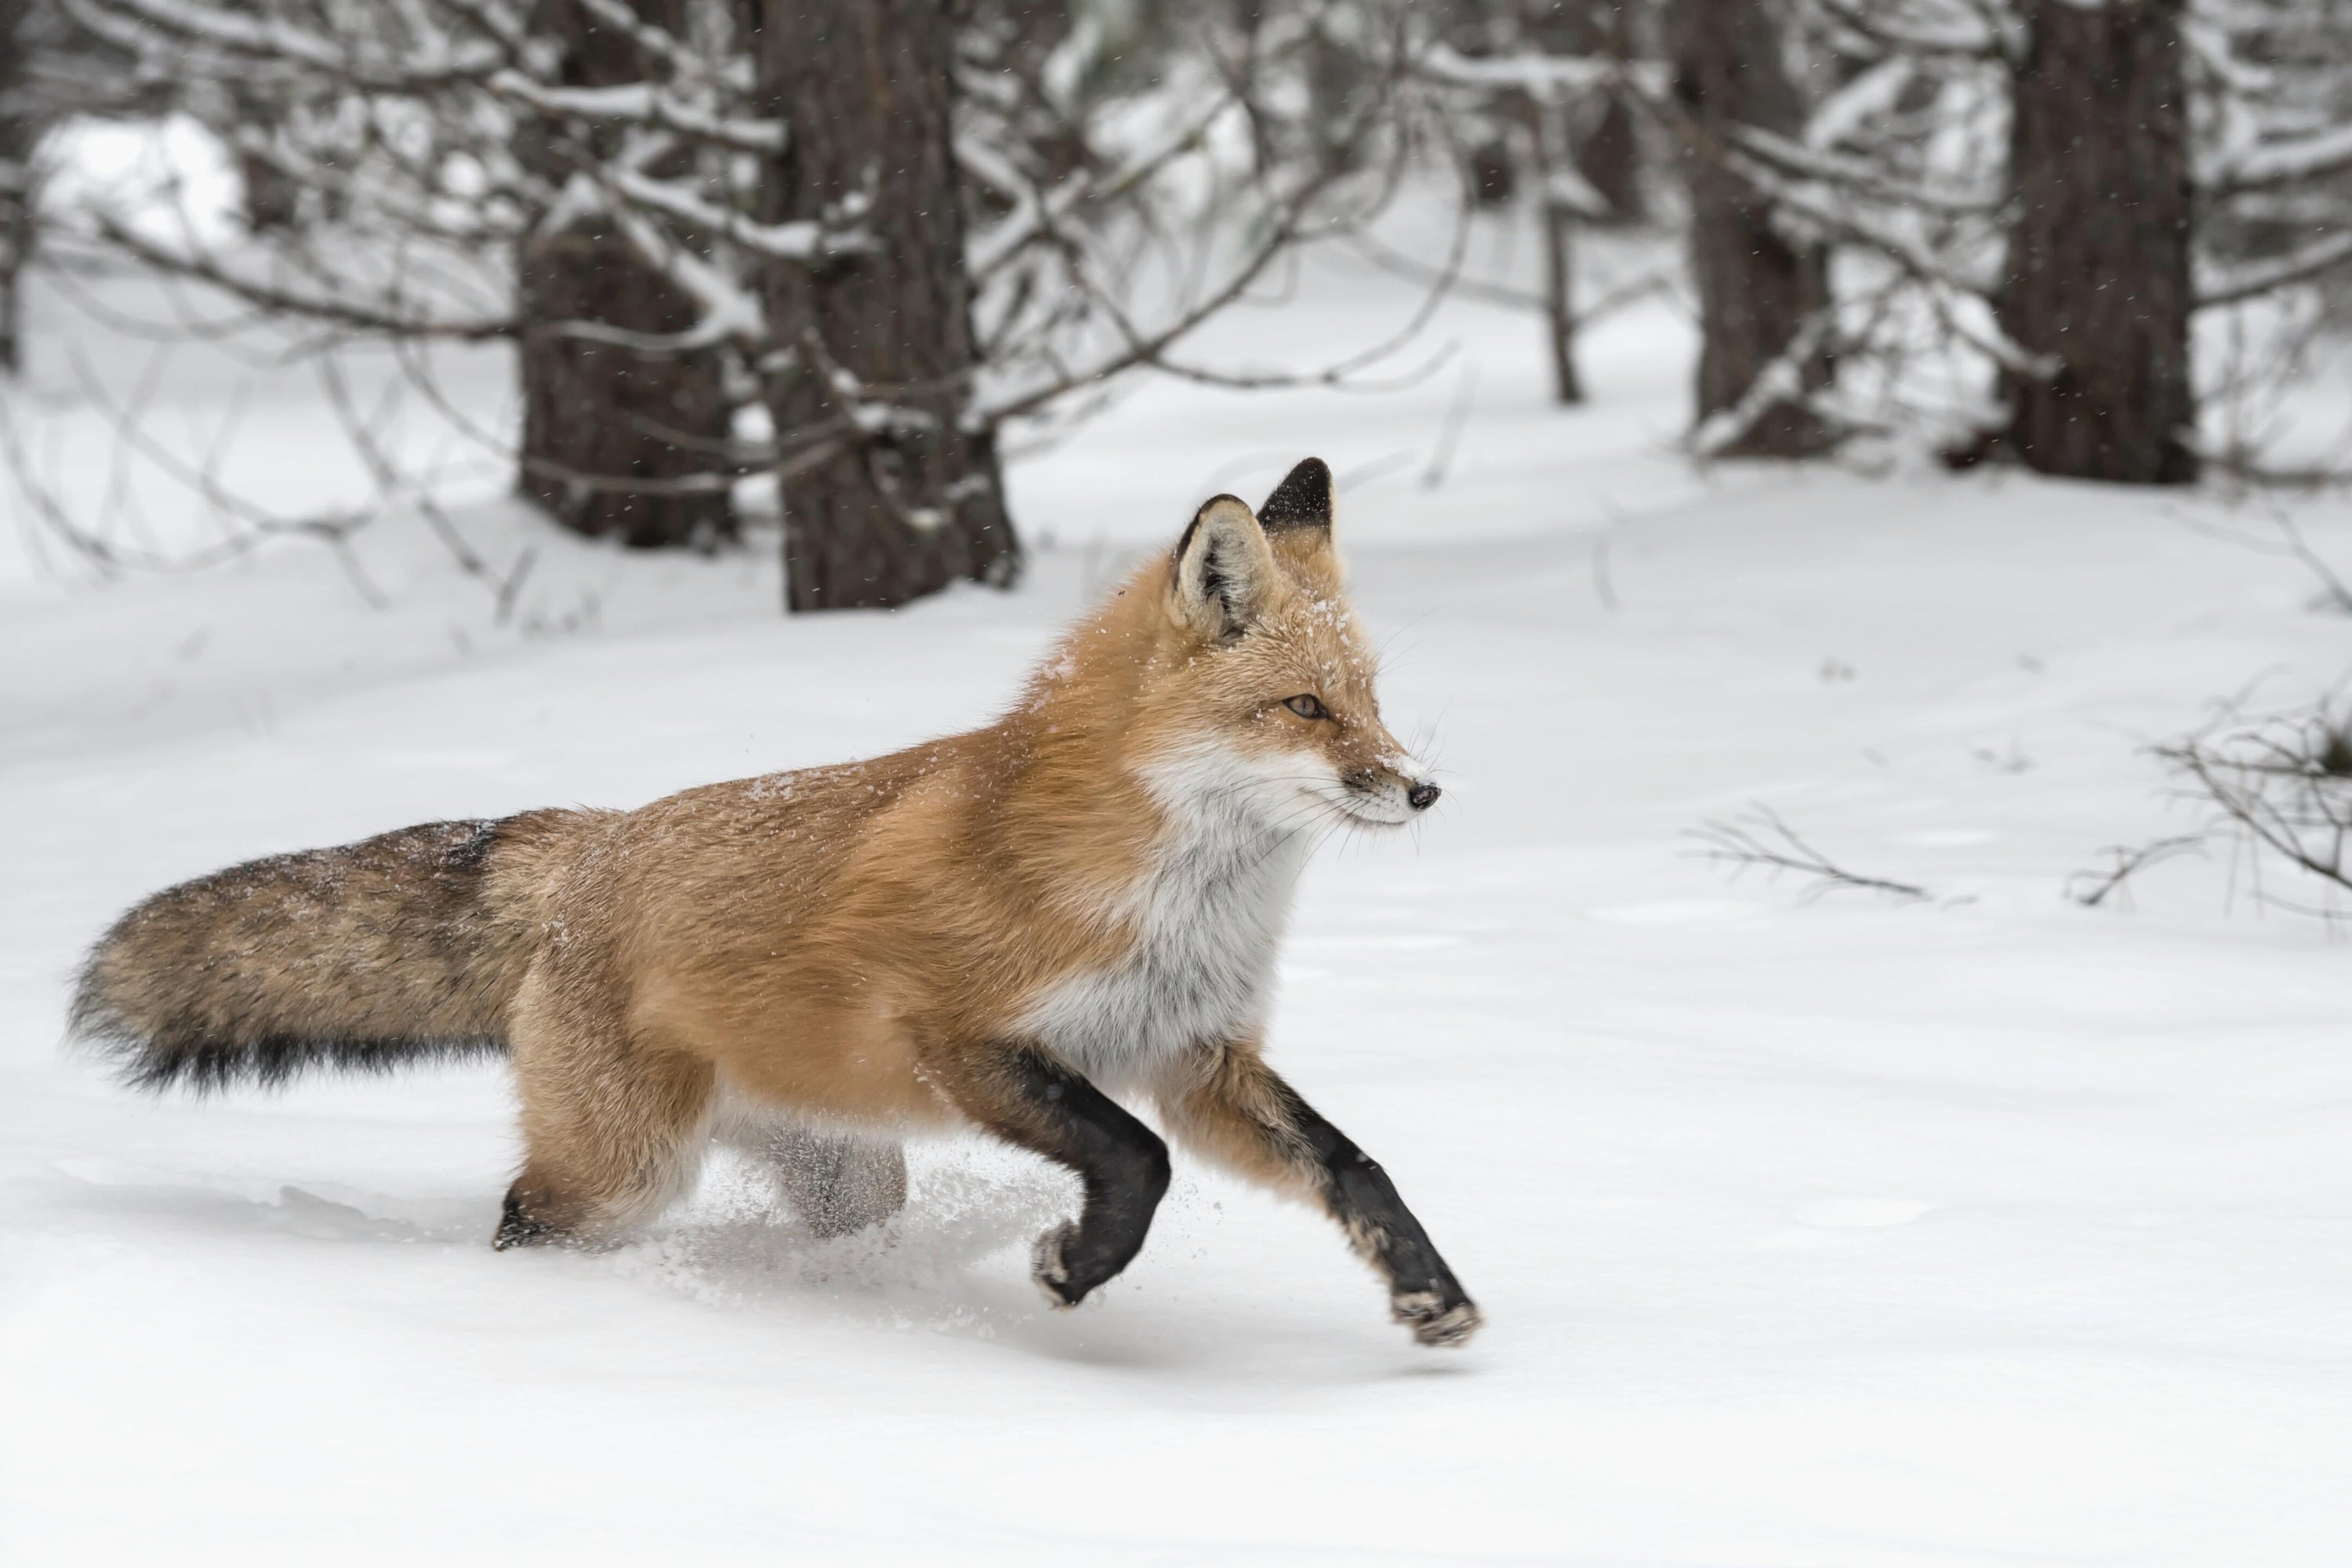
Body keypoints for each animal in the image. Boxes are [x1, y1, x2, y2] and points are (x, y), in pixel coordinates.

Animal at [69, 458, 1481, 1346]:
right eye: (1304, 708)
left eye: (1370, 699)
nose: (1424, 790)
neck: (1168, 896)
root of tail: (591, 843)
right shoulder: (964, 1038)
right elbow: (1136, 1165)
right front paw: (1070, 1268)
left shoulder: (1194, 1056)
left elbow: (1354, 1167)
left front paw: (1429, 1295)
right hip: (621, 1173)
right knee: (525, 1216)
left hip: (842, 1169)